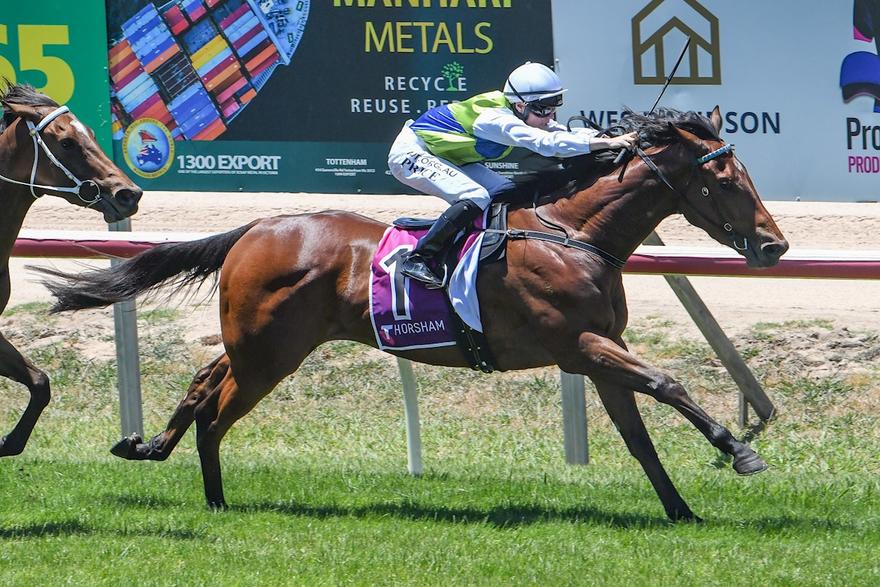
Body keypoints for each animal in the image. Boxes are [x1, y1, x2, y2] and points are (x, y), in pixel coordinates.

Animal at [36, 107, 788, 521]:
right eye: (724, 179)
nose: (775, 244)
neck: (570, 233)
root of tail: (256, 226)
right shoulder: (578, 343)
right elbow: (668, 382)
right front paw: (740, 450)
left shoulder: (597, 349)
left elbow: (639, 437)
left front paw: (681, 509)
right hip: (269, 355)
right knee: (217, 410)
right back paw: (214, 500)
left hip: (257, 343)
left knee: (201, 383)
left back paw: (153, 450)